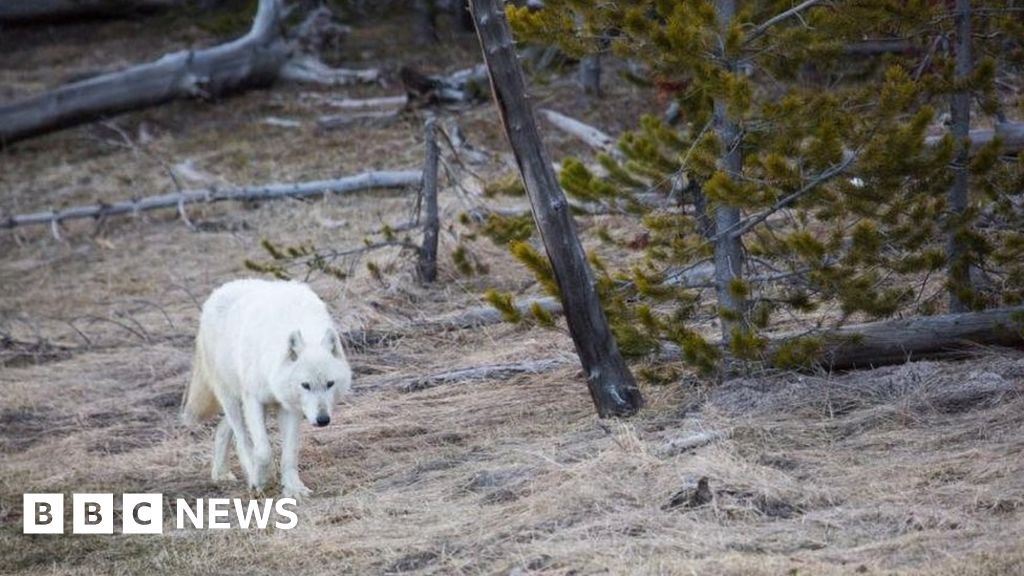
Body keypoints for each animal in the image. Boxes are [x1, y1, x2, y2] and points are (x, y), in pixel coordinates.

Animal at [182, 279, 352, 497]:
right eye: (306, 385)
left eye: (330, 384)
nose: (323, 420)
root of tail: (220, 290)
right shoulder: (254, 400)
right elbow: (263, 451)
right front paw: (261, 480)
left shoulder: (290, 406)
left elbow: (290, 453)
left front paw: (294, 489)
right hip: (232, 399)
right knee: (242, 440)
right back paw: (250, 475)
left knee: (222, 429)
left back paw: (221, 474)